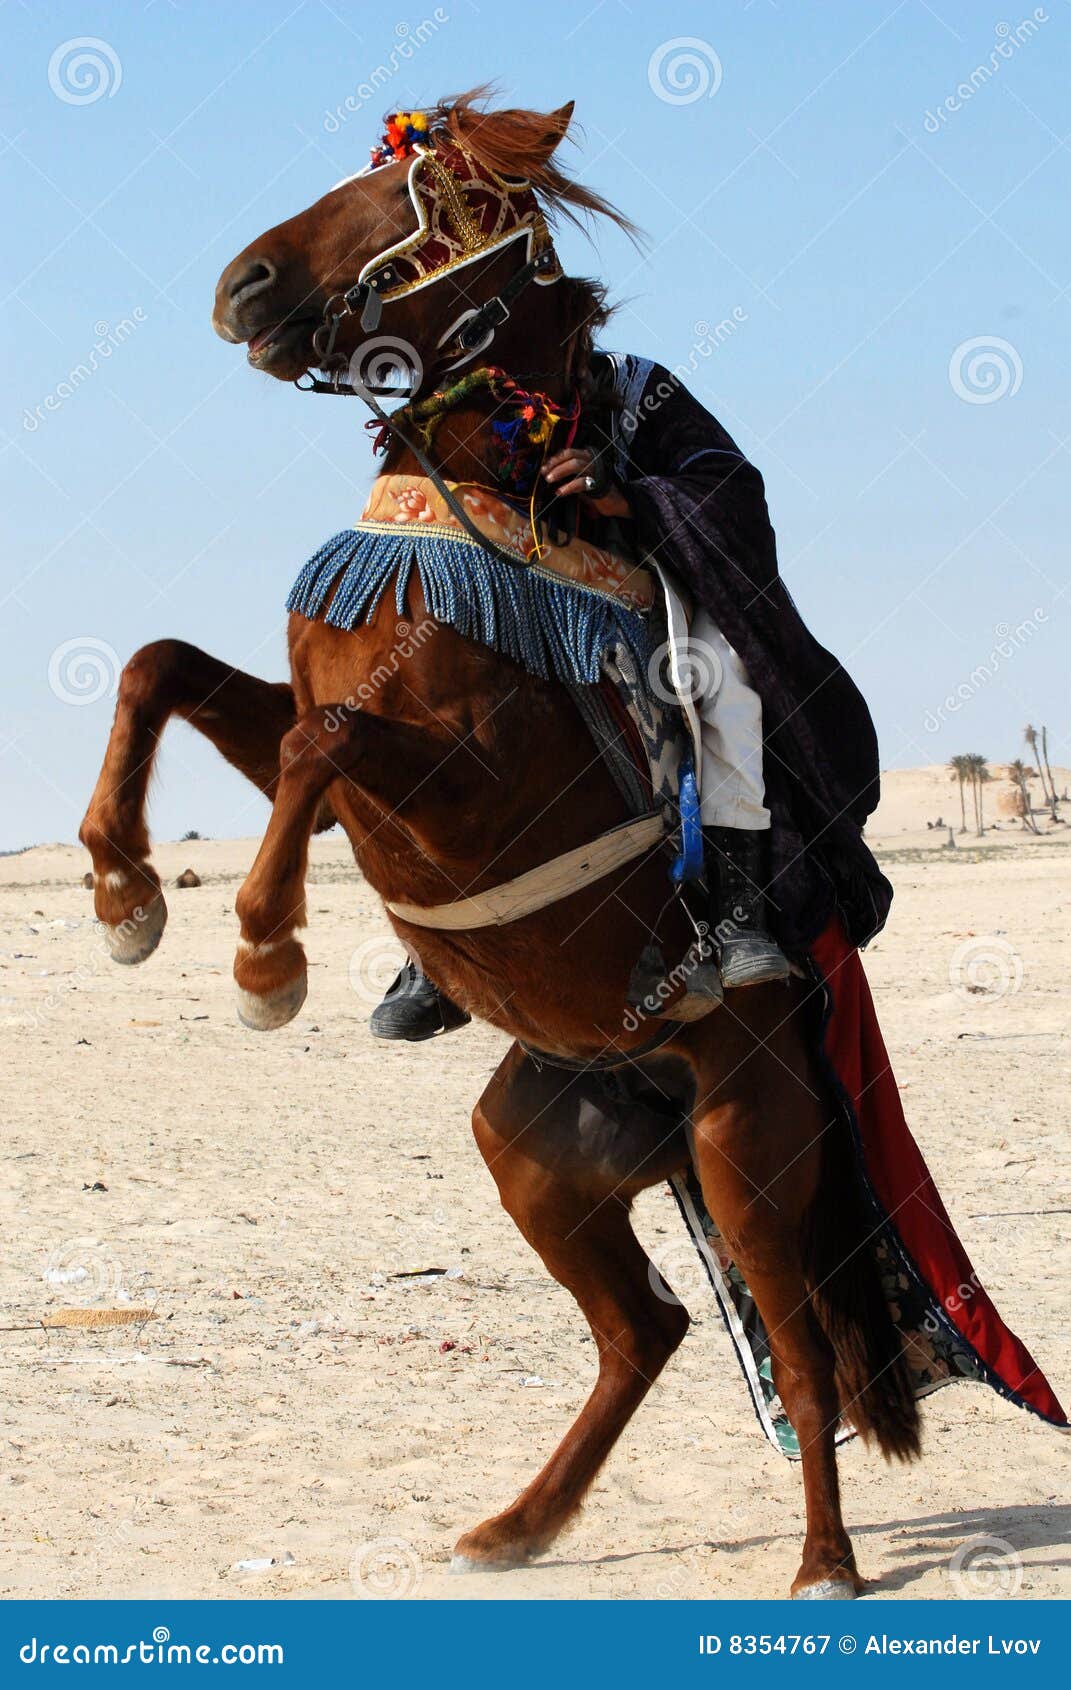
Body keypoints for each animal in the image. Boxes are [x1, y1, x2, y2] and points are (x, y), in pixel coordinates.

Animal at [79, 92, 921, 1599]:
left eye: (420, 194)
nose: (241, 285)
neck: (478, 515)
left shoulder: (467, 791)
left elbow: (318, 742)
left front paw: (265, 955)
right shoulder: (332, 749)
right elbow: (163, 667)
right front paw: (125, 891)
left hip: (744, 1155)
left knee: (802, 1359)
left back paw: (820, 1560)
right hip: (535, 1149)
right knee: (647, 1328)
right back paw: (516, 1524)